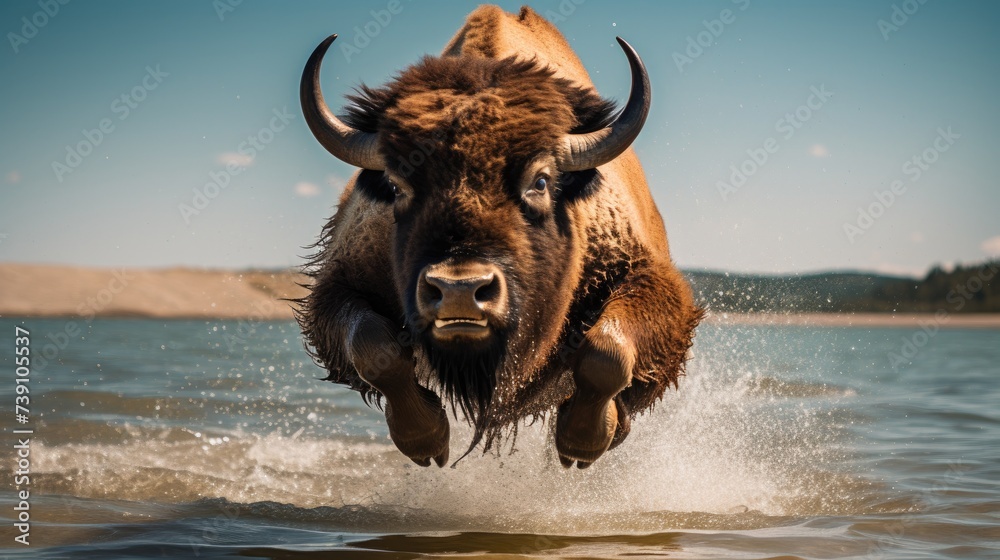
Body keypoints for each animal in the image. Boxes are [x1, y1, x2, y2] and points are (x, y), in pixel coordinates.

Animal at [296, 6, 701, 469]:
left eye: (541, 181)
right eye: (397, 186)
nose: (459, 290)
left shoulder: (649, 280)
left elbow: (607, 352)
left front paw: (580, 443)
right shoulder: (341, 284)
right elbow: (373, 348)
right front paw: (427, 442)